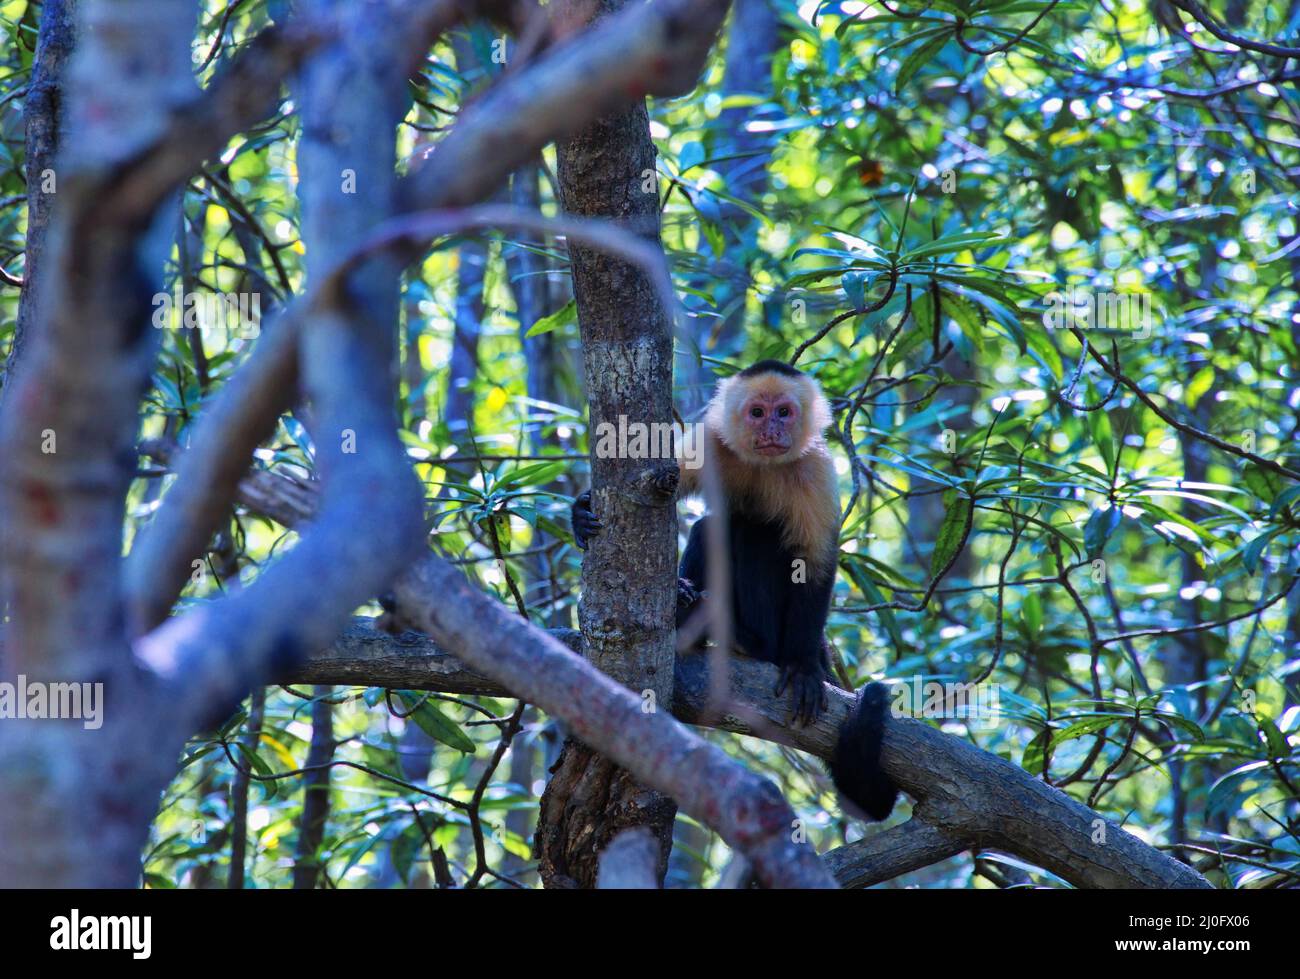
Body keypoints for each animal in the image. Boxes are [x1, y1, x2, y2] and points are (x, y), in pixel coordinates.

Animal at [571, 360, 898, 821]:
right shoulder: (708, 444)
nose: (772, 431)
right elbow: (666, 485)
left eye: (784, 412)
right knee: (714, 528)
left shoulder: (814, 469)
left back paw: (756, 643)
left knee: (754, 532)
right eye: (757, 413)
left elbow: (814, 566)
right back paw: (687, 612)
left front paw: (802, 667)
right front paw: (580, 512)